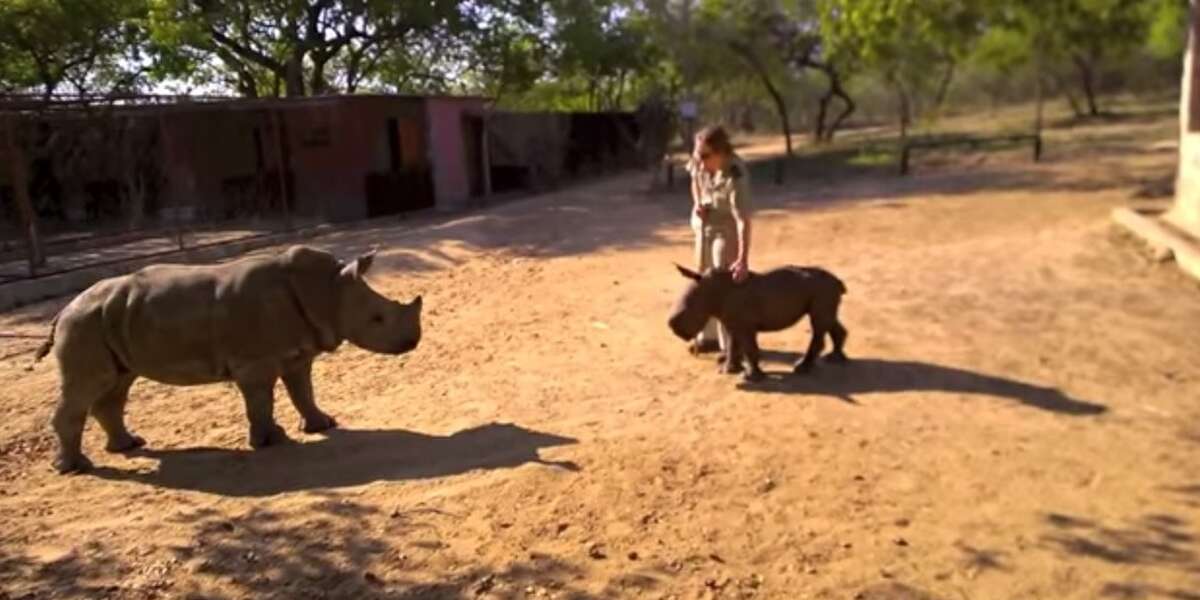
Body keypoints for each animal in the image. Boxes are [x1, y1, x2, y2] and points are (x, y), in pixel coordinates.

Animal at [32, 244, 422, 474]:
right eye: (376, 319)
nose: (413, 341)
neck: (327, 289)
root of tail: (63, 311)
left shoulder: (296, 351)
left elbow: (302, 390)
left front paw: (323, 425)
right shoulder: (255, 361)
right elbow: (261, 400)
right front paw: (272, 441)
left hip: (105, 323)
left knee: (116, 384)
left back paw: (129, 445)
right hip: (83, 325)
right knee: (89, 386)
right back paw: (75, 468)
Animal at [668, 264, 848, 383]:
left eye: (690, 309)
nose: (673, 328)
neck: (711, 291)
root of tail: (838, 281)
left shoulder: (745, 324)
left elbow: (749, 347)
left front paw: (750, 378)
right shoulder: (733, 321)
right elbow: (733, 344)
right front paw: (728, 371)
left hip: (822, 289)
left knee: (819, 323)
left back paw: (801, 368)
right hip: (823, 291)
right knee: (828, 320)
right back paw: (835, 359)